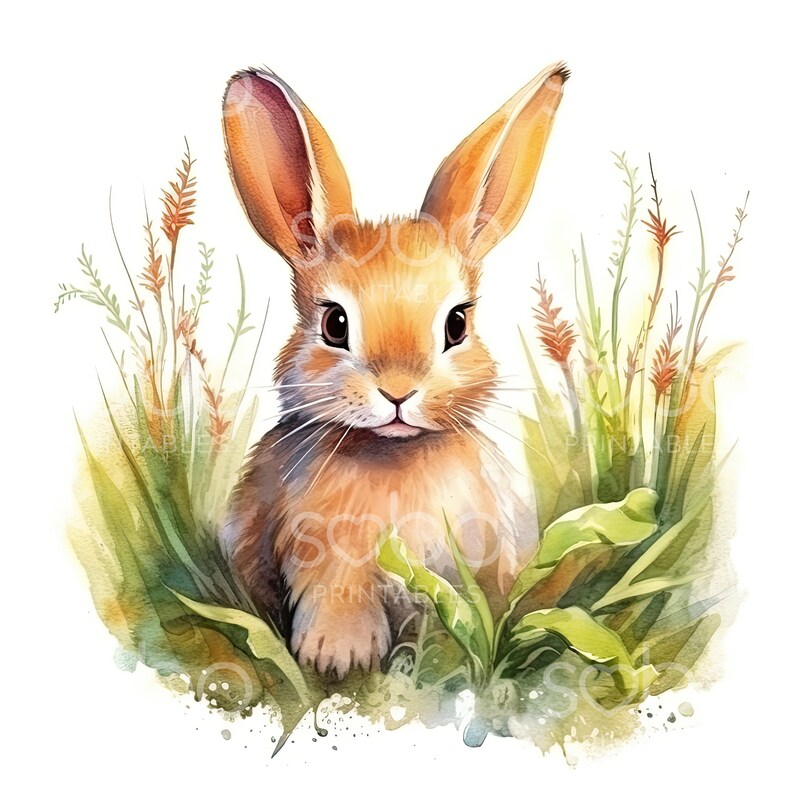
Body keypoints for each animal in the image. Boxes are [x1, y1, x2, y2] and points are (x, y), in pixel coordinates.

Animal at [222, 62, 568, 678]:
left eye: (457, 324)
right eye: (335, 323)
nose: (399, 393)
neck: (395, 456)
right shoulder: (322, 557)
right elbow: (340, 597)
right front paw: (339, 656)